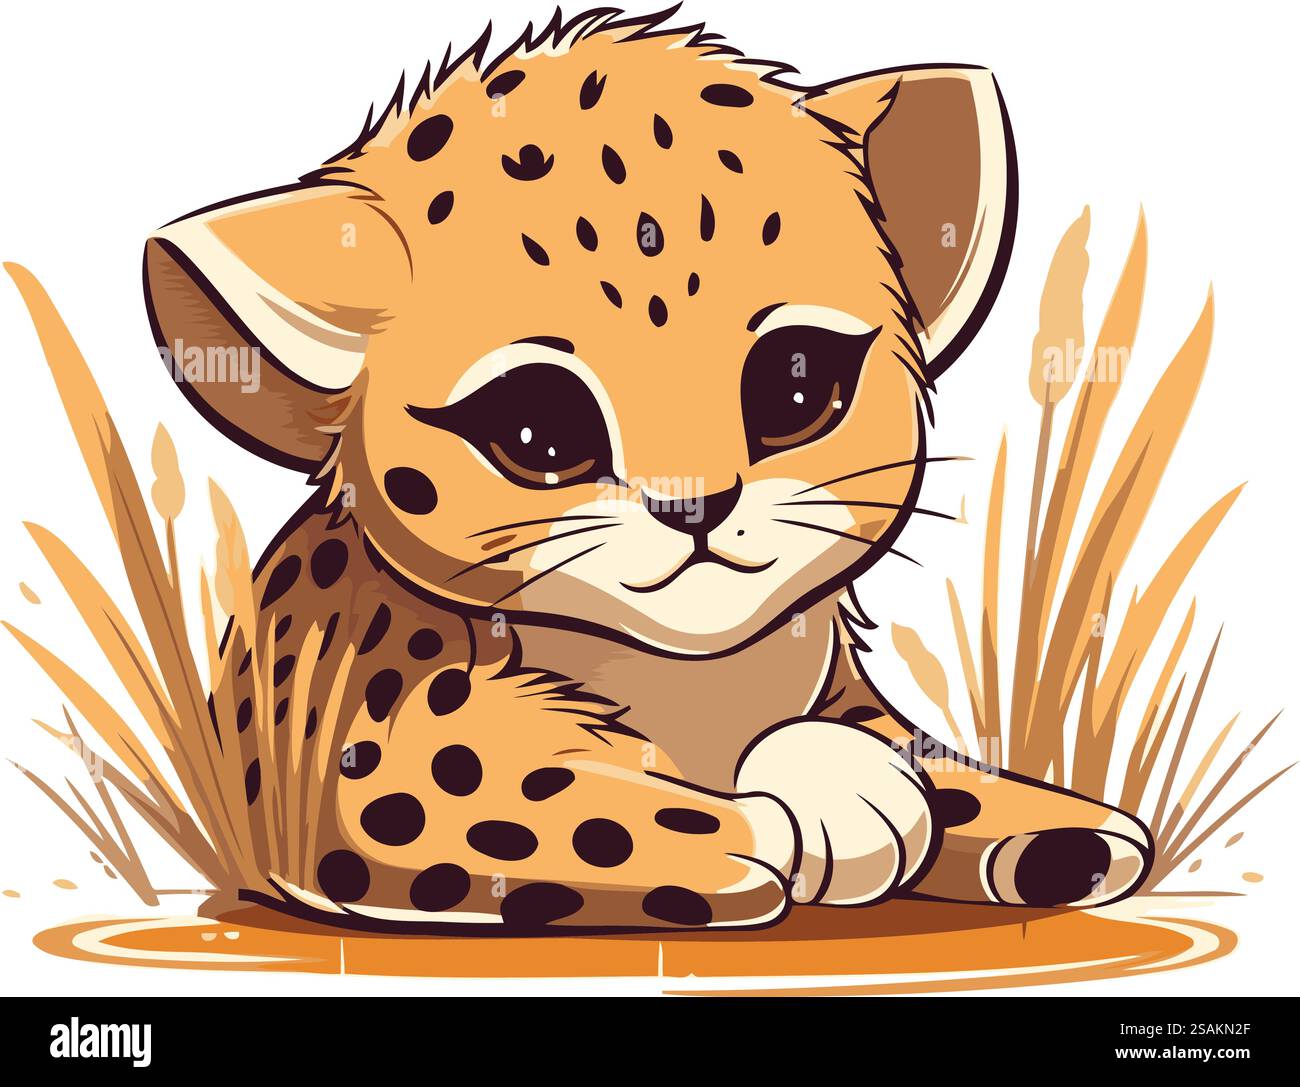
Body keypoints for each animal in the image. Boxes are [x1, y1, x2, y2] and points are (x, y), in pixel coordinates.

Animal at [142, 7, 1153, 931]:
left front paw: (1059, 833)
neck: (687, 673)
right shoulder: (375, 768)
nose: (695, 504)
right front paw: (793, 811)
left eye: (796, 388)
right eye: (537, 433)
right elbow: (602, 808)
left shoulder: (849, 696)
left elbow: (941, 771)